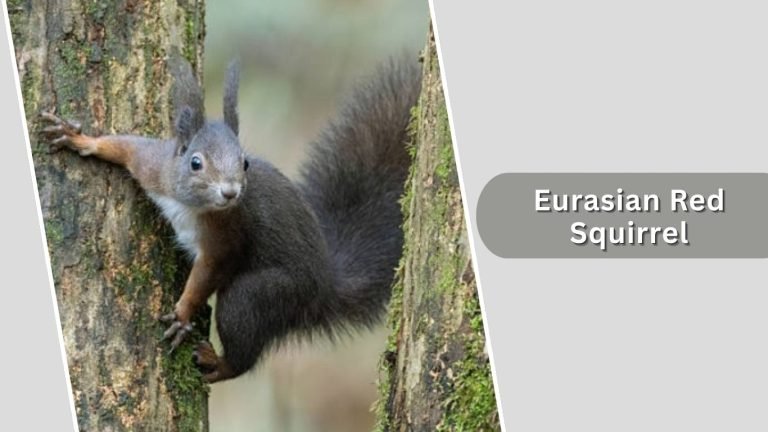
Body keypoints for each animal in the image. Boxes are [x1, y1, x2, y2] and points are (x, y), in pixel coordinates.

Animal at [41, 58, 421, 383]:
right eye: (195, 162)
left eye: (244, 162)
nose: (230, 192)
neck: (190, 204)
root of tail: (323, 288)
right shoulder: (154, 168)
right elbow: (125, 146)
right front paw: (78, 138)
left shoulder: (227, 234)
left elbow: (211, 269)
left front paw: (182, 314)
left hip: (259, 295)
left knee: (243, 351)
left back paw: (218, 364)